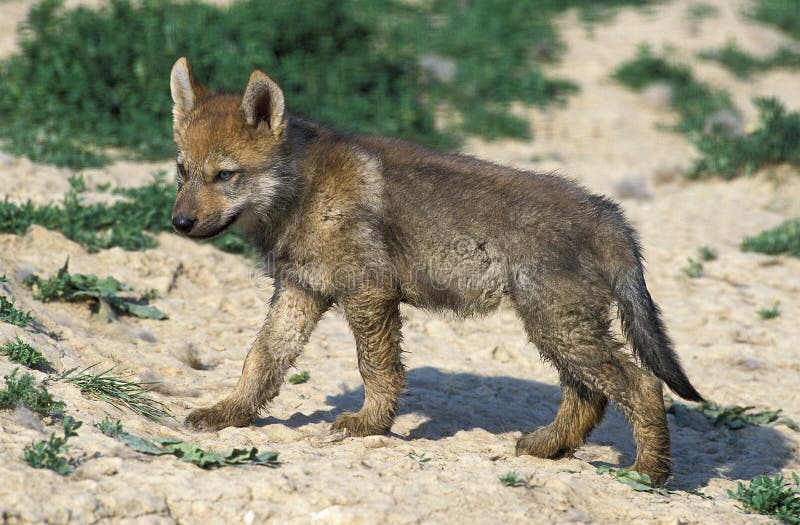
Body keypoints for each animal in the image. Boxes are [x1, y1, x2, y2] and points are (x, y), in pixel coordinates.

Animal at [169, 57, 703, 485]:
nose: (179, 223)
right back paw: (547, 446)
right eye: (181, 171)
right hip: (558, 328)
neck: (302, 192)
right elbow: (261, 360)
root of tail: (609, 216)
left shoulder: (369, 293)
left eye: (226, 175)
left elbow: (377, 370)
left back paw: (648, 473)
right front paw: (230, 412)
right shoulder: (300, 292)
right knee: (589, 395)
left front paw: (369, 425)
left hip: (559, 325)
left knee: (640, 386)